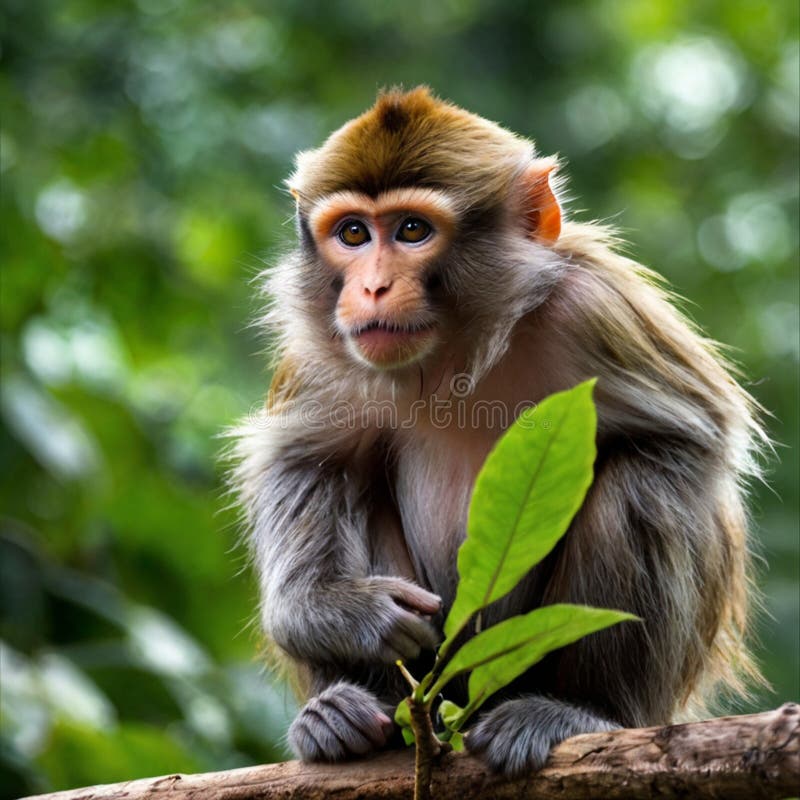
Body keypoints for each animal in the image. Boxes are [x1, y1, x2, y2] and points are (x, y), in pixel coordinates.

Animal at [232, 87, 765, 777]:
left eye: (412, 230)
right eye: (353, 233)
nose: (372, 286)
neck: (461, 353)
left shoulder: (595, 306)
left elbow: (693, 439)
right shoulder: (323, 347)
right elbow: (300, 461)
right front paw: (337, 613)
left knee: (642, 479)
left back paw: (582, 710)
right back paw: (342, 716)